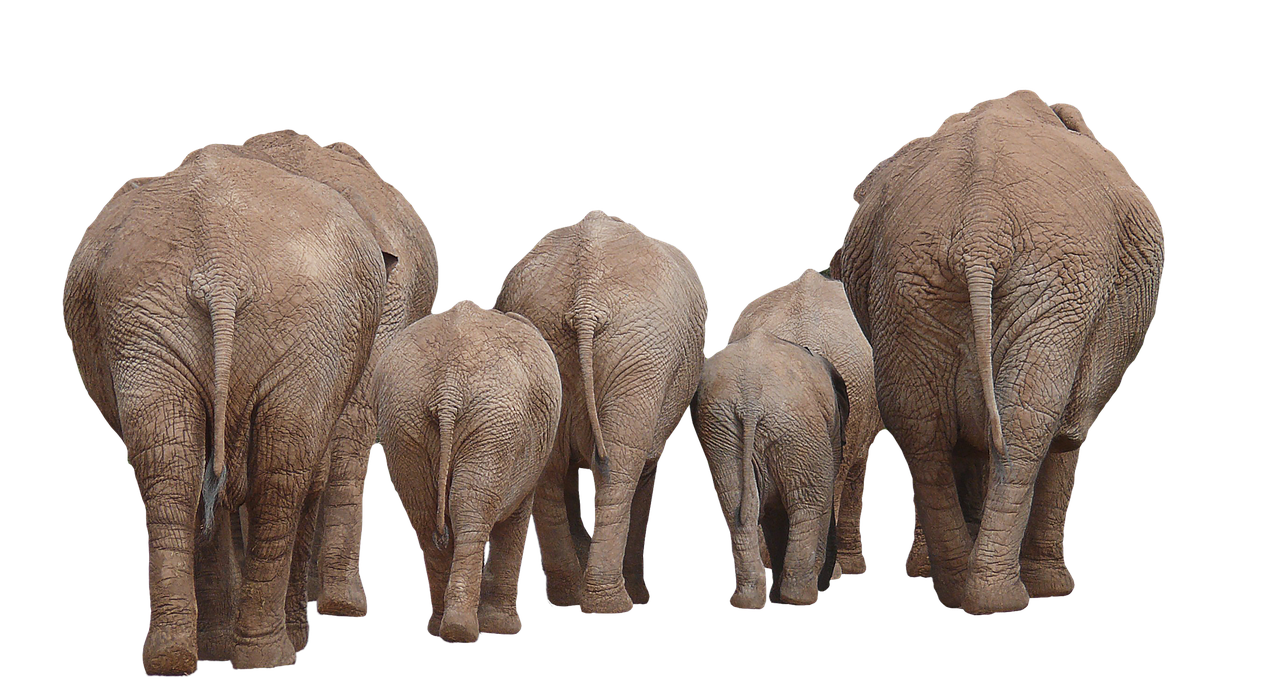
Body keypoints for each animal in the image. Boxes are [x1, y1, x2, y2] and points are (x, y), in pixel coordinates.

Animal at [62, 142, 393, 673]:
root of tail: (220, 263)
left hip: (150, 319)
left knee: (174, 464)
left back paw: (178, 657)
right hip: (275, 319)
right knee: (278, 473)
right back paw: (266, 653)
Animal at [373, 299, 561, 643]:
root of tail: (448, 385)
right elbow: (516, 515)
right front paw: (504, 629)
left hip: (404, 420)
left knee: (425, 516)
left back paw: (443, 627)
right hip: (492, 423)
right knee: (471, 512)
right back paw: (462, 629)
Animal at [493, 209, 708, 615]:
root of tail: (585, 295)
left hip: (554, 342)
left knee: (551, 467)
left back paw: (569, 597)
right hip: (642, 357)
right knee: (620, 466)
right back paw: (613, 604)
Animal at [691, 330, 849, 609]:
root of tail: (750, 400)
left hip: (721, 428)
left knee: (737, 506)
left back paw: (749, 602)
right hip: (796, 425)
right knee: (809, 502)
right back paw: (801, 598)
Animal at [836, 89, 1166, 614]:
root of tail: (980, 228)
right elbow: (1066, 432)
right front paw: (1053, 588)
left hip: (908, 285)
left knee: (921, 422)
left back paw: (960, 590)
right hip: (1054, 283)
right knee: (1028, 421)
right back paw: (1001, 598)